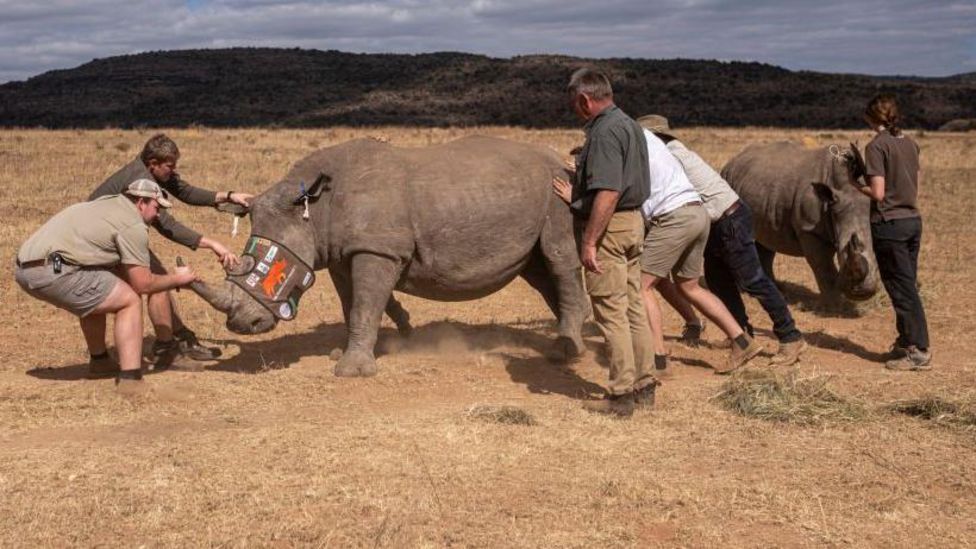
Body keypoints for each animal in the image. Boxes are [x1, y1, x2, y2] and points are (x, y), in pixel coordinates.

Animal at [190, 136, 588, 376]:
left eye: (269, 267)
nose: (242, 326)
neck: (313, 208)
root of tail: (561, 161)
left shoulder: (376, 248)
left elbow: (365, 304)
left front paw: (349, 371)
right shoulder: (343, 253)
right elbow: (352, 304)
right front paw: (360, 347)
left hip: (558, 194)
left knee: (557, 257)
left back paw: (565, 352)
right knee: (539, 271)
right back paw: (570, 336)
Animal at [721, 141, 880, 304]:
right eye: (843, 254)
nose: (862, 293)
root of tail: (733, 160)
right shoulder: (809, 229)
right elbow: (823, 266)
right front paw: (835, 304)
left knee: (767, 239)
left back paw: (778, 289)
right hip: (728, 183)